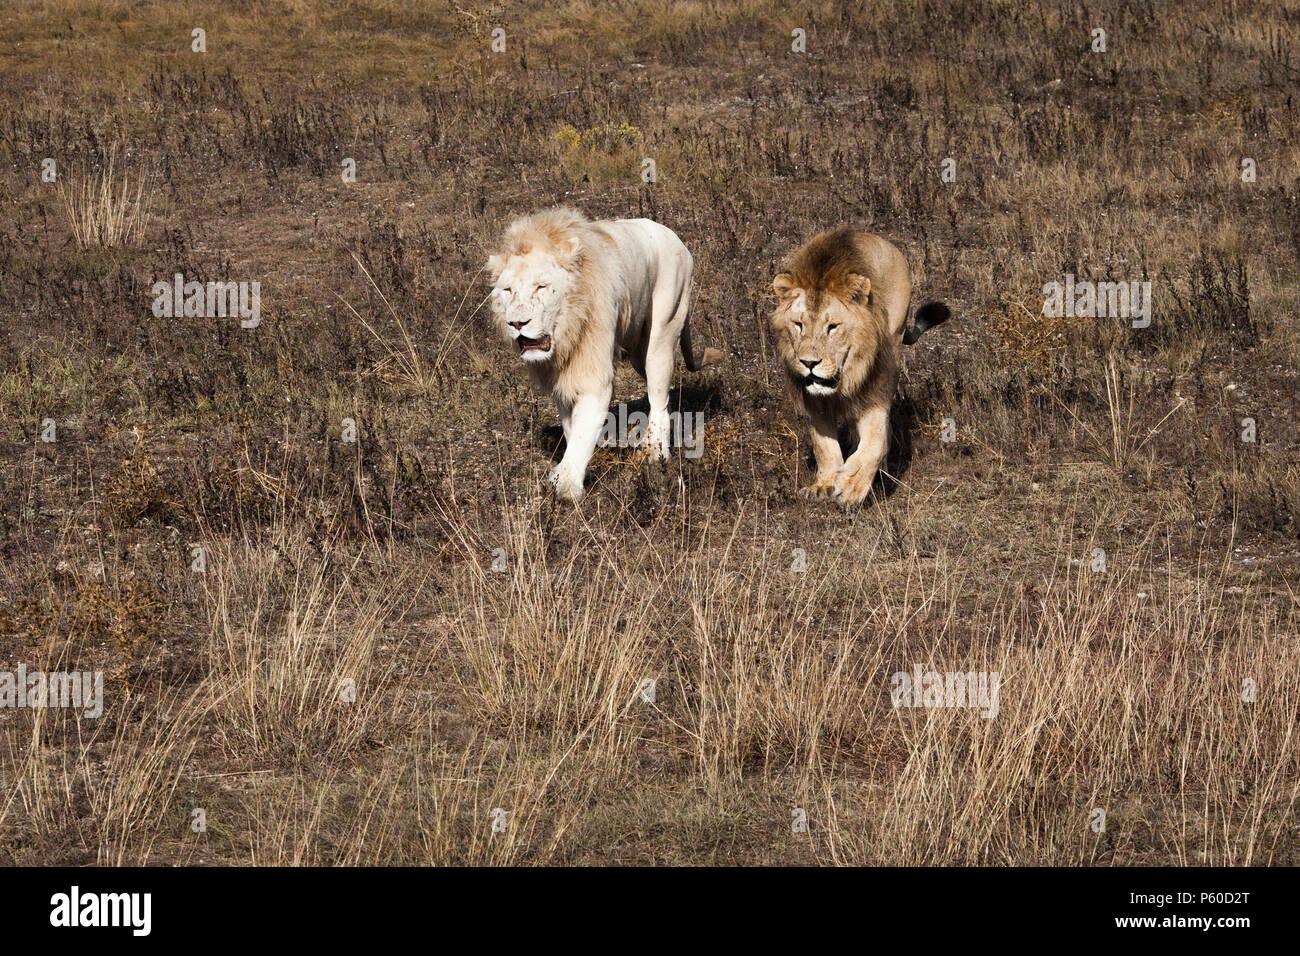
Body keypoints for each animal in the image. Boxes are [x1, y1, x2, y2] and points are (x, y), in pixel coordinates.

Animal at [487, 207, 722, 501]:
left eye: (541, 287)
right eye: (507, 290)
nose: (517, 323)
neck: (567, 331)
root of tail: (675, 237)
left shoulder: (593, 376)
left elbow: (582, 432)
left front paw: (566, 486)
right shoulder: (562, 377)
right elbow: (572, 427)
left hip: (664, 328)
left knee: (659, 395)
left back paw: (655, 454)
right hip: (638, 349)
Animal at [770, 227, 950, 506]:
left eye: (832, 327)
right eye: (799, 324)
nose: (809, 363)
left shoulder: (877, 384)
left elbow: (875, 439)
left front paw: (853, 487)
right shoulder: (812, 399)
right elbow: (823, 444)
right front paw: (824, 485)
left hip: (895, 340)